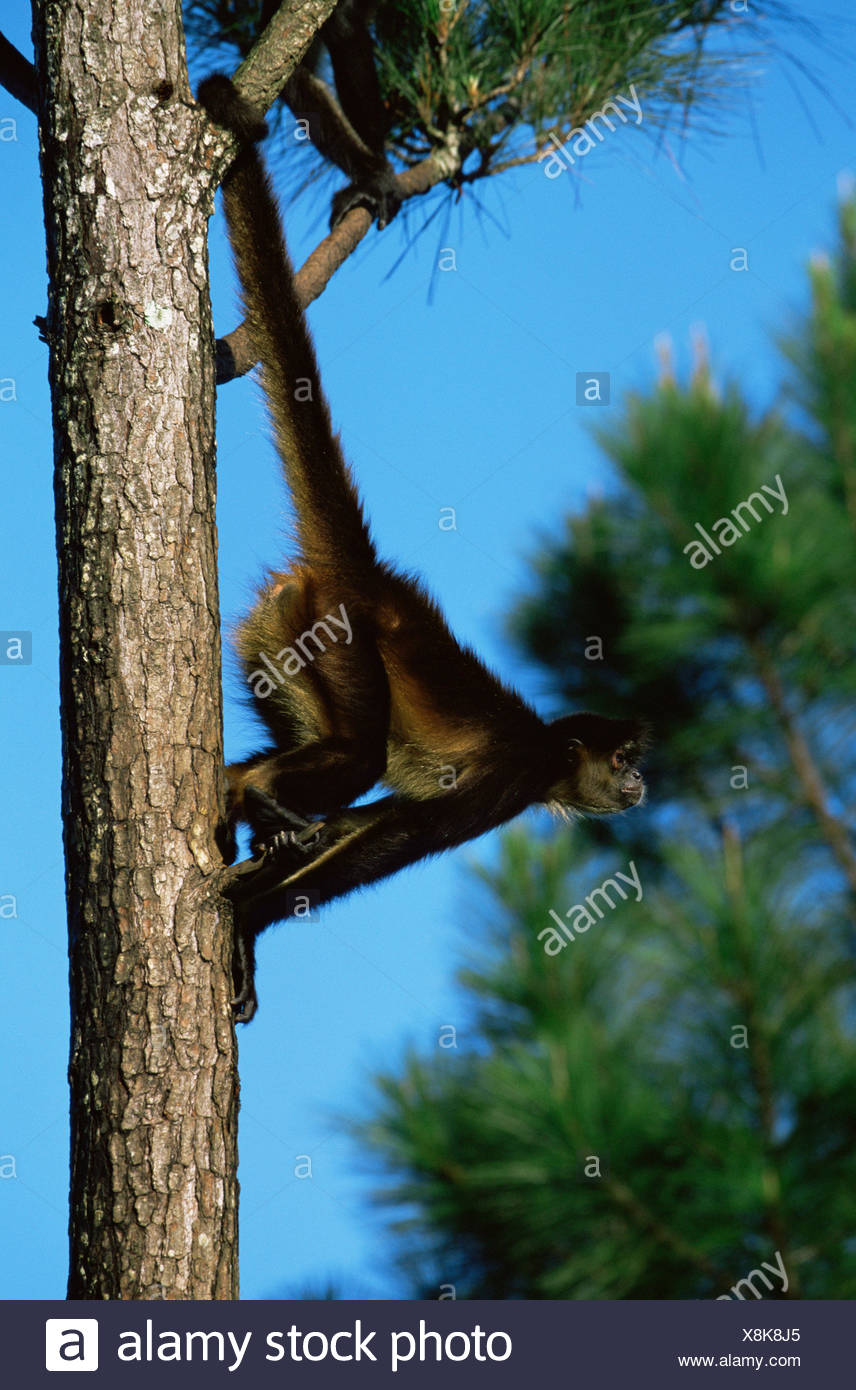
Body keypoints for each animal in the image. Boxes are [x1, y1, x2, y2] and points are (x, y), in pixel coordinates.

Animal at [199, 76, 648, 1022]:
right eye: (623, 760)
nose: (641, 785)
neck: (548, 750)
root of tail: (366, 576)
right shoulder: (512, 776)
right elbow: (402, 832)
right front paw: (249, 921)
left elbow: (367, 822)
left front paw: (252, 920)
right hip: (334, 635)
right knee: (353, 757)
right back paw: (261, 800)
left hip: (279, 637)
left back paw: (241, 794)